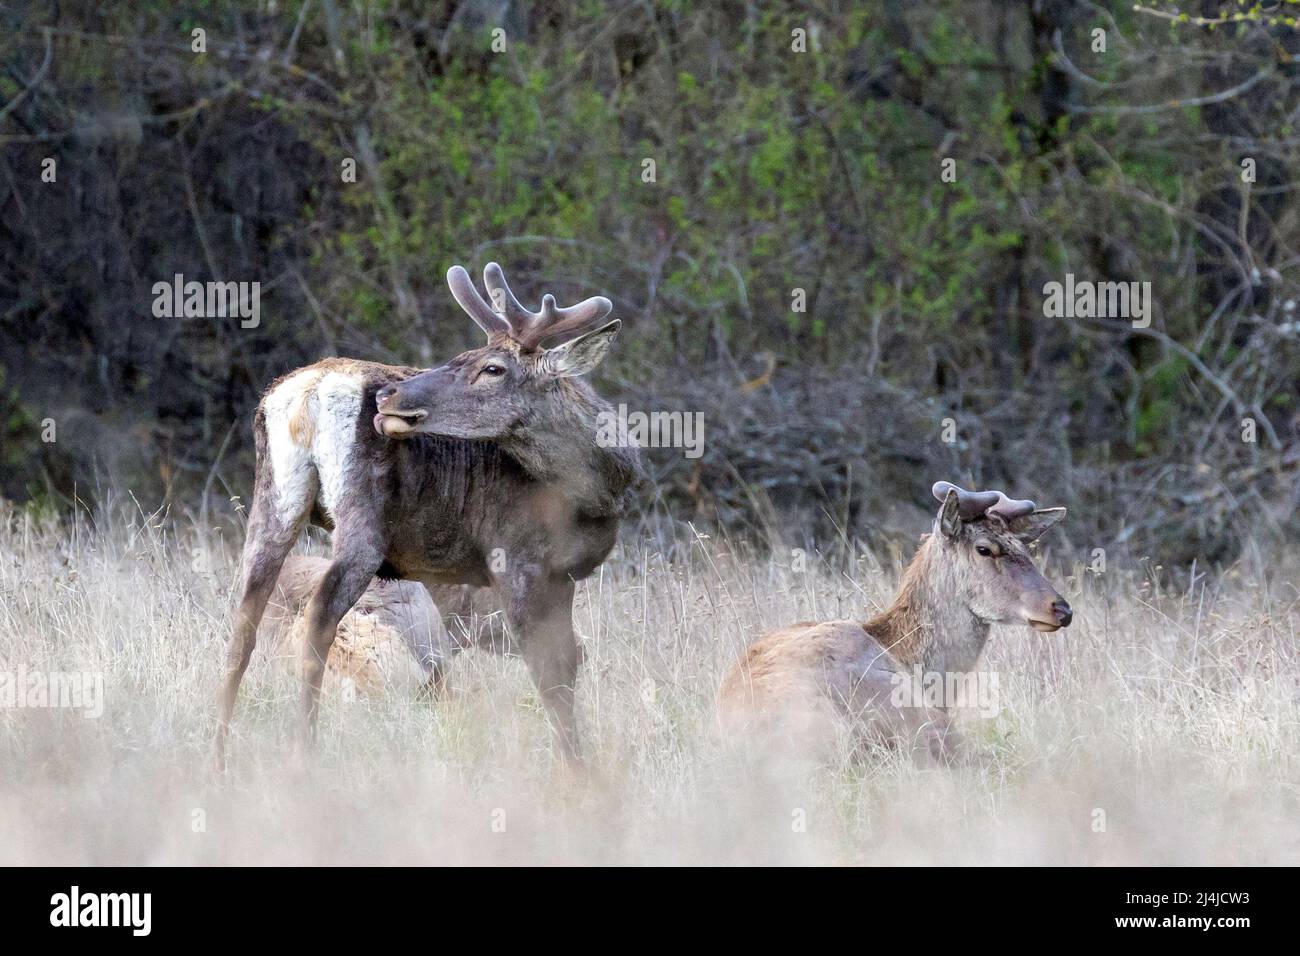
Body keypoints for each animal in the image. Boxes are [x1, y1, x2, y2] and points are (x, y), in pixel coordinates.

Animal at [216, 262, 637, 767]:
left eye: (491, 367)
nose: (389, 396)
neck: (595, 488)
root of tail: (306, 395)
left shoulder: (559, 576)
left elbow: (568, 662)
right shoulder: (517, 556)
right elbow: (552, 671)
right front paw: (576, 767)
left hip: (273, 503)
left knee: (242, 627)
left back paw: (216, 753)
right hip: (363, 517)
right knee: (319, 619)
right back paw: (304, 750)